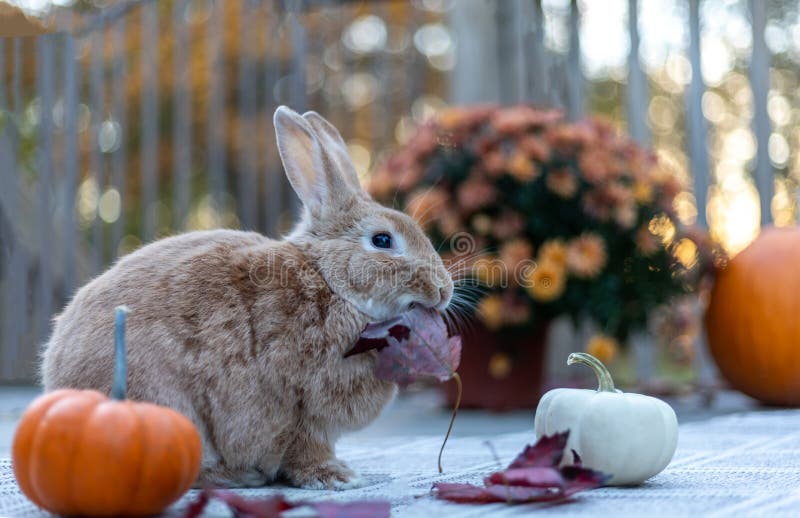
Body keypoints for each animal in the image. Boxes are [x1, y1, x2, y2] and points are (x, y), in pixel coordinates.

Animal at [41, 106, 454, 489]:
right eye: (382, 240)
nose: (443, 290)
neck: (331, 285)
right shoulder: (303, 409)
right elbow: (306, 449)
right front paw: (334, 477)